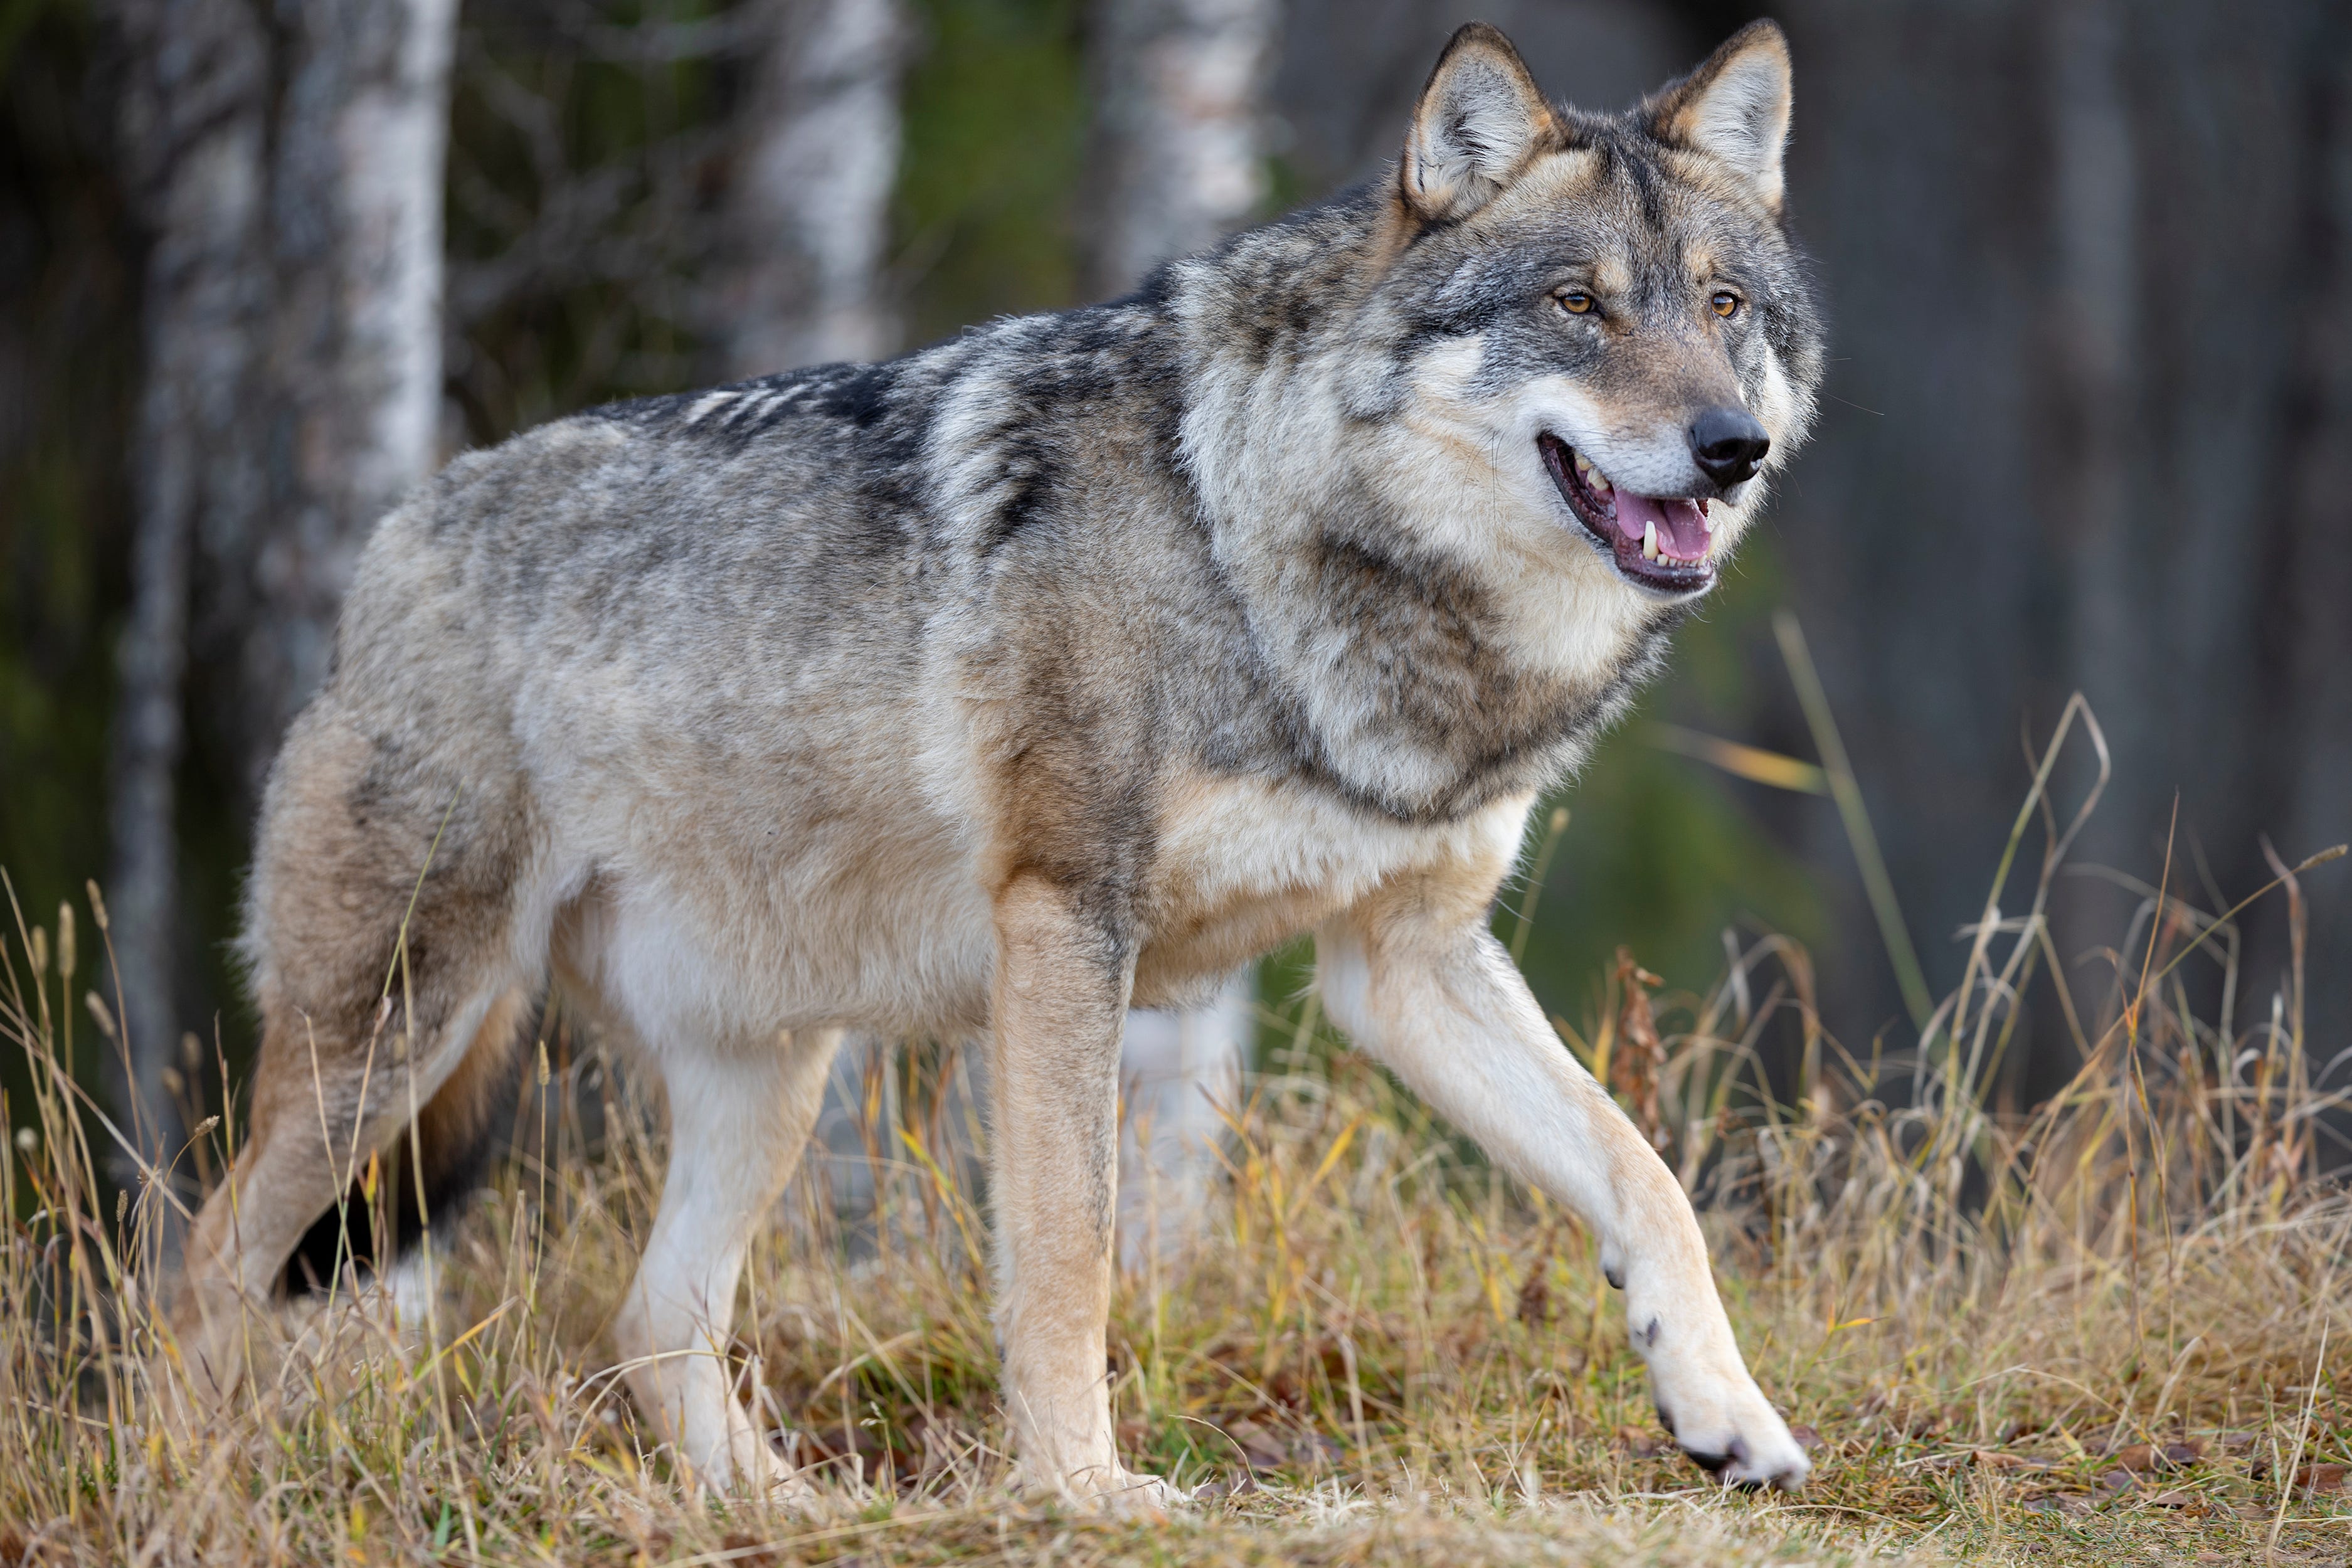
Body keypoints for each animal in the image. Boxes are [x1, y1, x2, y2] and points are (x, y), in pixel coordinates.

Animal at [169, 19, 1824, 1500]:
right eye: (1577, 304)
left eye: (1724, 304)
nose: (1729, 446)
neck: (1263, 535)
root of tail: (400, 528)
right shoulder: (1065, 917)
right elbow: (1072, 1247)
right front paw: (1084, 1490)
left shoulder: (1403, 958)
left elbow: (1645, 1175)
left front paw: (1728, 1415)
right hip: (396, 1034)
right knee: (200, 1263)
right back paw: (194, 1479)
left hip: (765, 1069)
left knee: (651, 1315)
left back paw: (786, 1510)